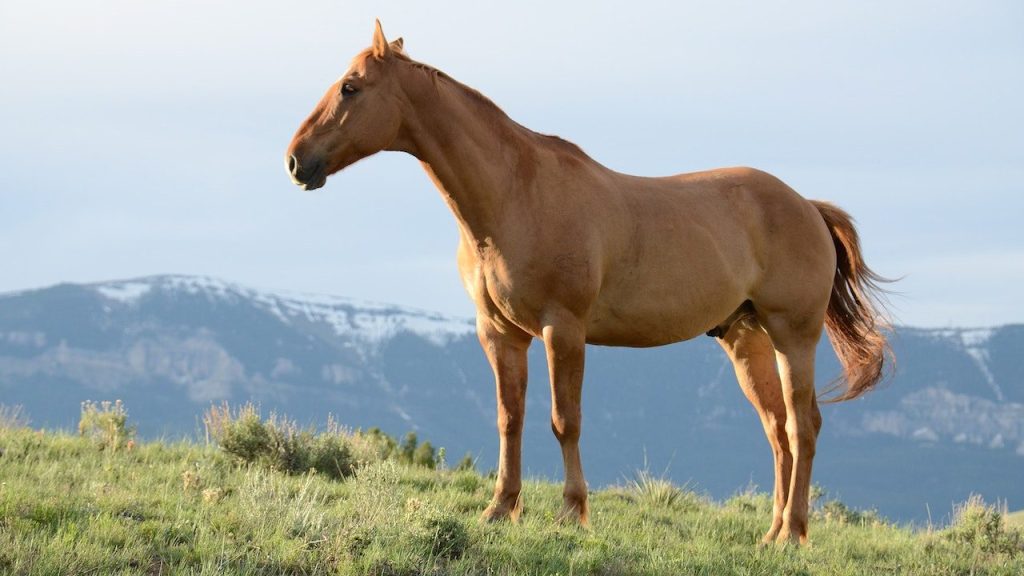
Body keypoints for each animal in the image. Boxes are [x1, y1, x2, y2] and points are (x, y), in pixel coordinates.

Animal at [285, 21, 891, 545]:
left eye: (350, 87)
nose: (295, 161)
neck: (515, 195)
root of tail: (807, 206)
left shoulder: (563, 330)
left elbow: (564, 421)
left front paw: (572, 513)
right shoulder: (499, 333)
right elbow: (509, 419)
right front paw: (500, 509)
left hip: (793, 335)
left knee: (803, 426)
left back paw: (793, 534)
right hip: (747, 339)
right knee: (777, 430)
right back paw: (771, 533)